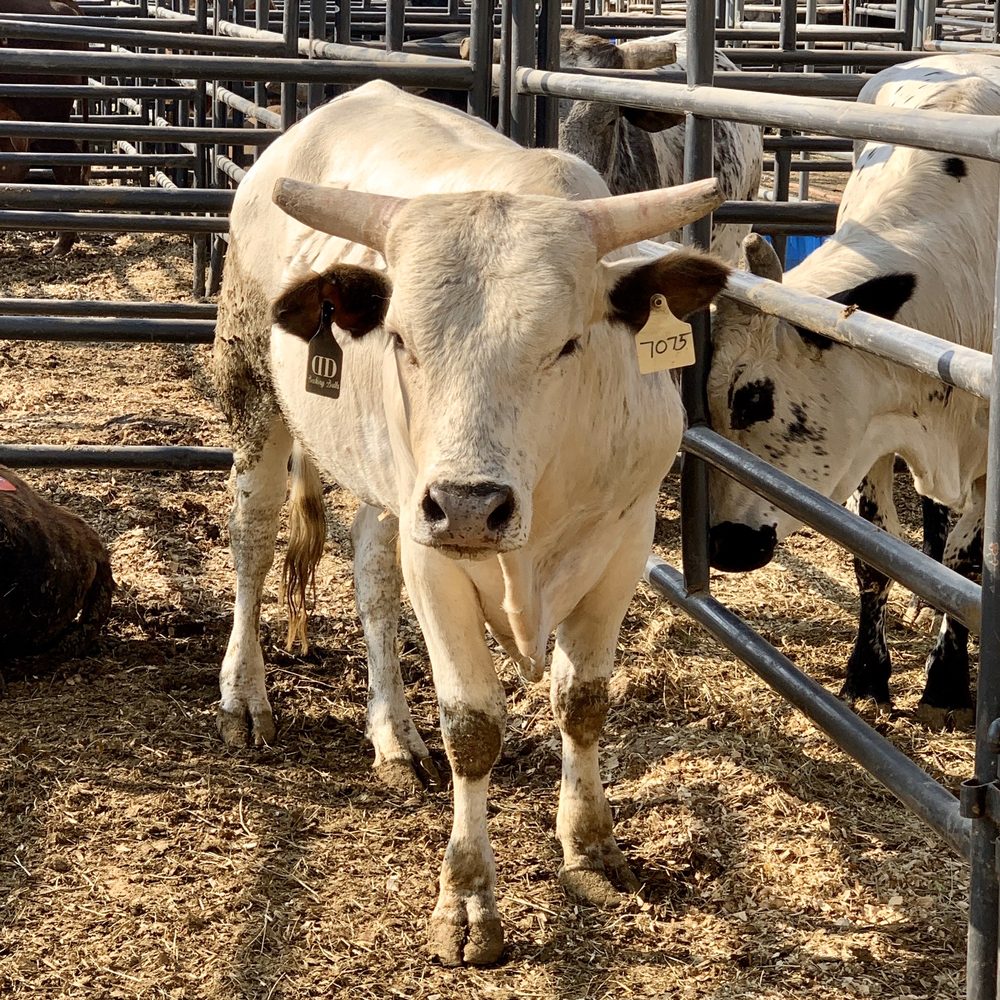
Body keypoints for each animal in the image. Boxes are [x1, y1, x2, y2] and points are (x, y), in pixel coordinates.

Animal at [212, 80, 729, 965]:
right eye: (400, 340)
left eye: (567, 343)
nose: (467, 503)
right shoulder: (439, 558)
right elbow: (474, 728)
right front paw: (467, 902)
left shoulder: (622, 545)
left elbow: (582, 701)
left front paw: (591, 849)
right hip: (257, 394)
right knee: (253, 539)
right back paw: (245, 696)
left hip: (394, 489)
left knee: (371, 574)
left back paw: (393, 736)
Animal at [706, 53, 998, 729]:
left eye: (752, 398)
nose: (724, 546)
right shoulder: (878, 433)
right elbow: (873, 554)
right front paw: (868, 673)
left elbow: (969, 566)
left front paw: (947, 683)